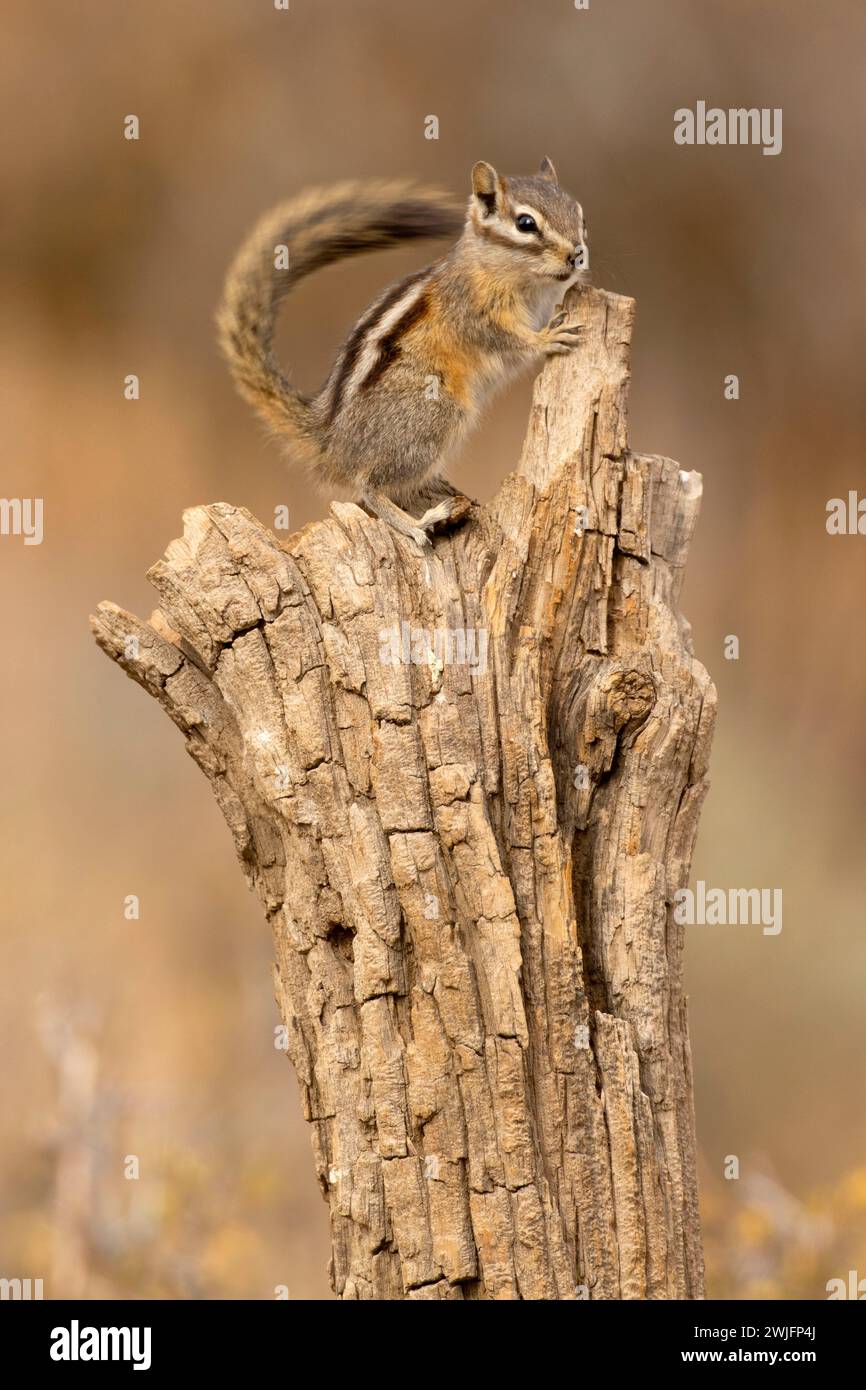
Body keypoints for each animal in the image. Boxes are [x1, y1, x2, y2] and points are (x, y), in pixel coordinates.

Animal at [217, 158, 588, 548]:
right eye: (525, 223)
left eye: (578, 213)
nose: (577, 254)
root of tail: (330, 438)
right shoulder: (471, 311)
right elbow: (504, 338)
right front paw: (547, 338)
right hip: (433, 412)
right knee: (370, 486)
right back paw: (417, 525)